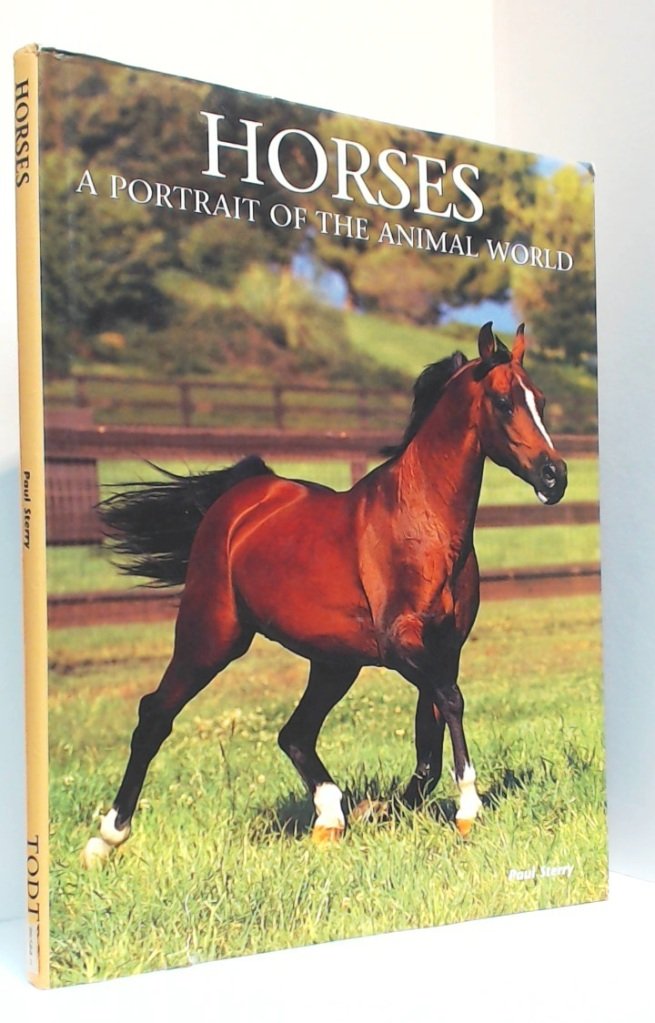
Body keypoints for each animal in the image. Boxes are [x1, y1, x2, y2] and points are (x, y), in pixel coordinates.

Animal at [82, 322, 567, 867]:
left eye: (540, 400)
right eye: (504, 401)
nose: (555, 476)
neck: (424, 524)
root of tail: (239, 502)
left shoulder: (445, 648)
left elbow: (429, 743)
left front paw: (381, 809)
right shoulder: (402, 644)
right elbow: (452, 703)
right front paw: (467, 808)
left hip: (334, 662)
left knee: (294, 733)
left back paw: (331, 817)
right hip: (211, 637)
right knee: (155, 714)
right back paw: (106, 837)